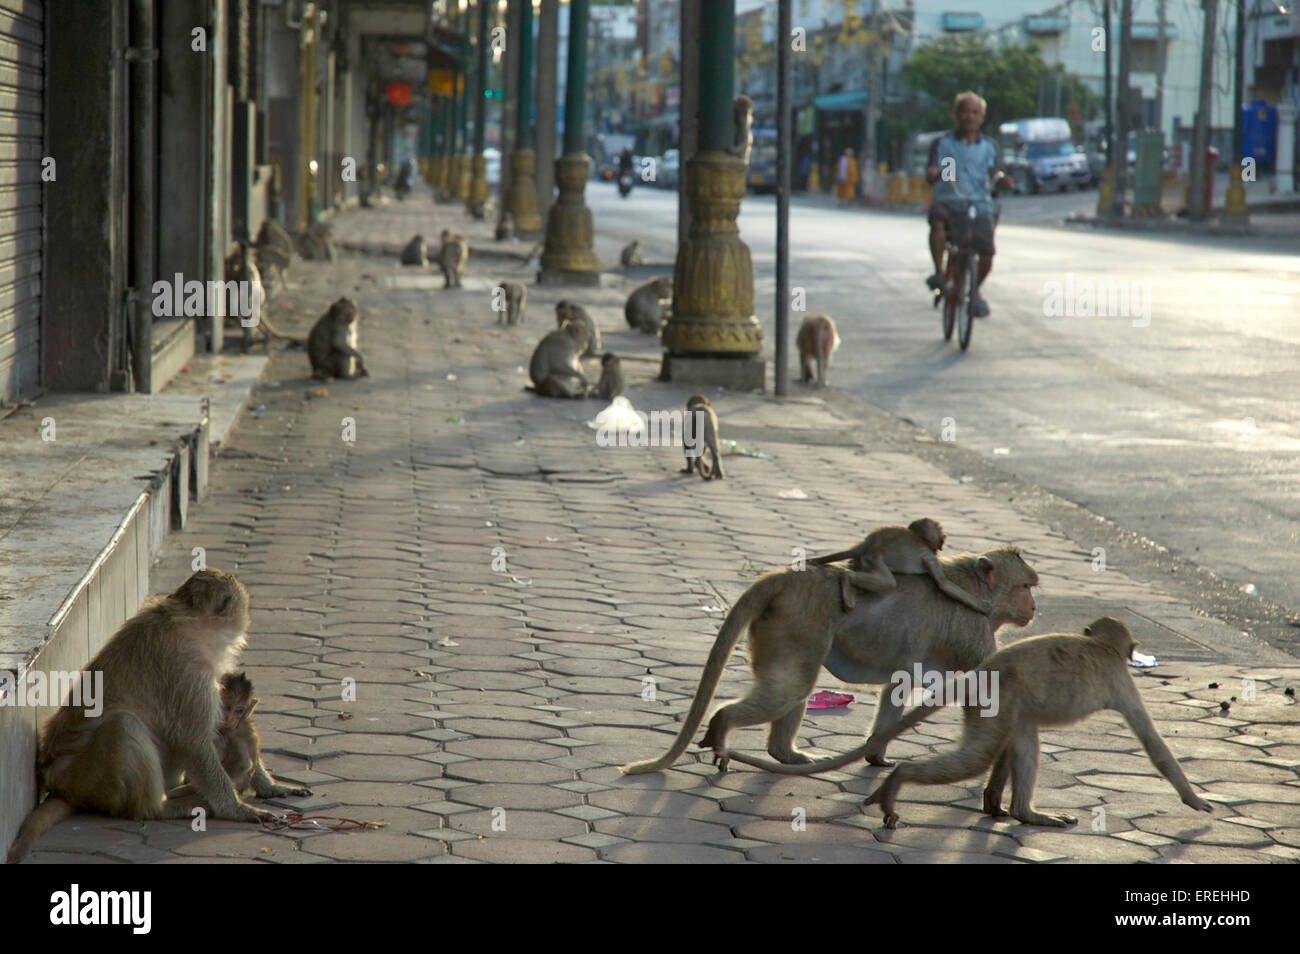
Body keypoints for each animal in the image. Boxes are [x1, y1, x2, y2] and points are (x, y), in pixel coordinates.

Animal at [6, 570, 275, 864]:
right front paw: (235, 809)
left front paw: (266, 784)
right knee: (124, 726)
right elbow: (192, 741)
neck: (187, 620)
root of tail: (59, 783)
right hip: (87, 778)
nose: (246, 622)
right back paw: (158, 809)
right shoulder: (190, 670)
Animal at [619, 546, 1038, 775]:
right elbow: (990, 696)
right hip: (799, 621)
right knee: (792, 686)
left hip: (786, 625)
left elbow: (898, 685)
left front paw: (875, 754)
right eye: (1025, 586)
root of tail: (786, 577)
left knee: (794, 684)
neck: (977, 589)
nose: (1034, 607)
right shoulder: (974, 633)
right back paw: (724, 727)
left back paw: (784, 754)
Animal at [811, 518, 991, 617]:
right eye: (940, 532)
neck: (922, 540)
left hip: (864, 560)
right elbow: (944, 584)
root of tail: (866, 544)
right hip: (873, 559)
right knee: (888, 583)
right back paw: (847, 578)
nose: (944, 537)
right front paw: (982, 606)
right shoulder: (930, 557)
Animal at [862, 617, 1215, 829]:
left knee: (1019, 733)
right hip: (993, 700)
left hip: (998, 704)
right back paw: (901, 777)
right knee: (979, 757)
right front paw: (1193, 798)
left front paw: (993, 801)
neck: (1101, 646)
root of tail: (981, 672)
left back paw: (1016, 809)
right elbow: (1152, 741)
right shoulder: (1120, 677)